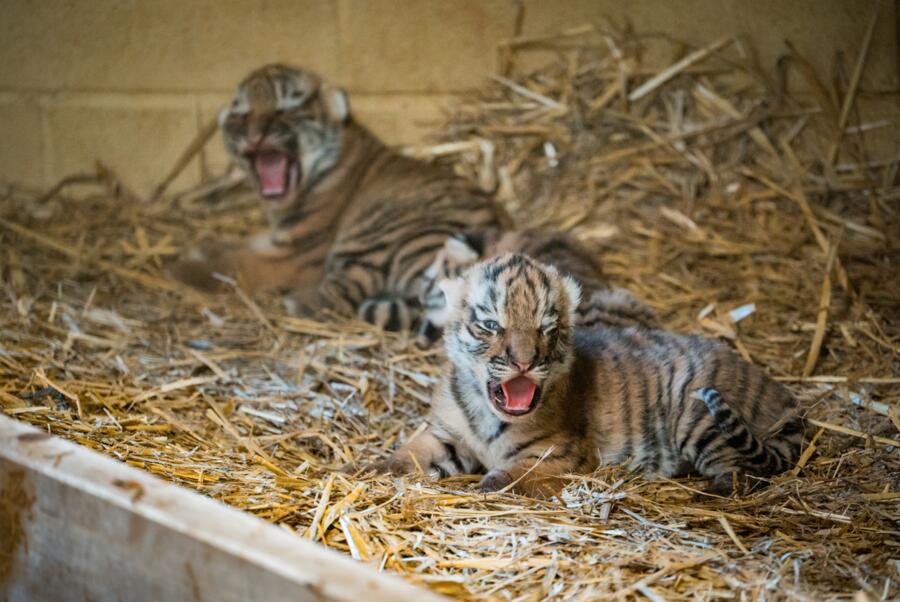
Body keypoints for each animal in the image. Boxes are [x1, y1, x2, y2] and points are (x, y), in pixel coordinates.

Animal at [167, 64, 509, 331]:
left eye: (286, 107)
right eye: (241, 112)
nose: (253, 136)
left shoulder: (295, 258)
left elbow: (234, 264)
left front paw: (178, 268)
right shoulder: (277, 239)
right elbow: (241, 243)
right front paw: (201, 247)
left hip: (371, 238)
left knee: (340, 295)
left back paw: (293, 302)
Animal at [368, 253, 804, 497]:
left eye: (546, 328)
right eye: (492, 325)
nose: (524, 362)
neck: (486, 413)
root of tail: (783, 395)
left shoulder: (559, 452)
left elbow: (513, 474)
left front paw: (489, 483)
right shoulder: (448, 436)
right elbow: (408, 454)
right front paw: (370, 470)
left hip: (699, 415)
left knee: (746, 476)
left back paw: (705, 496)